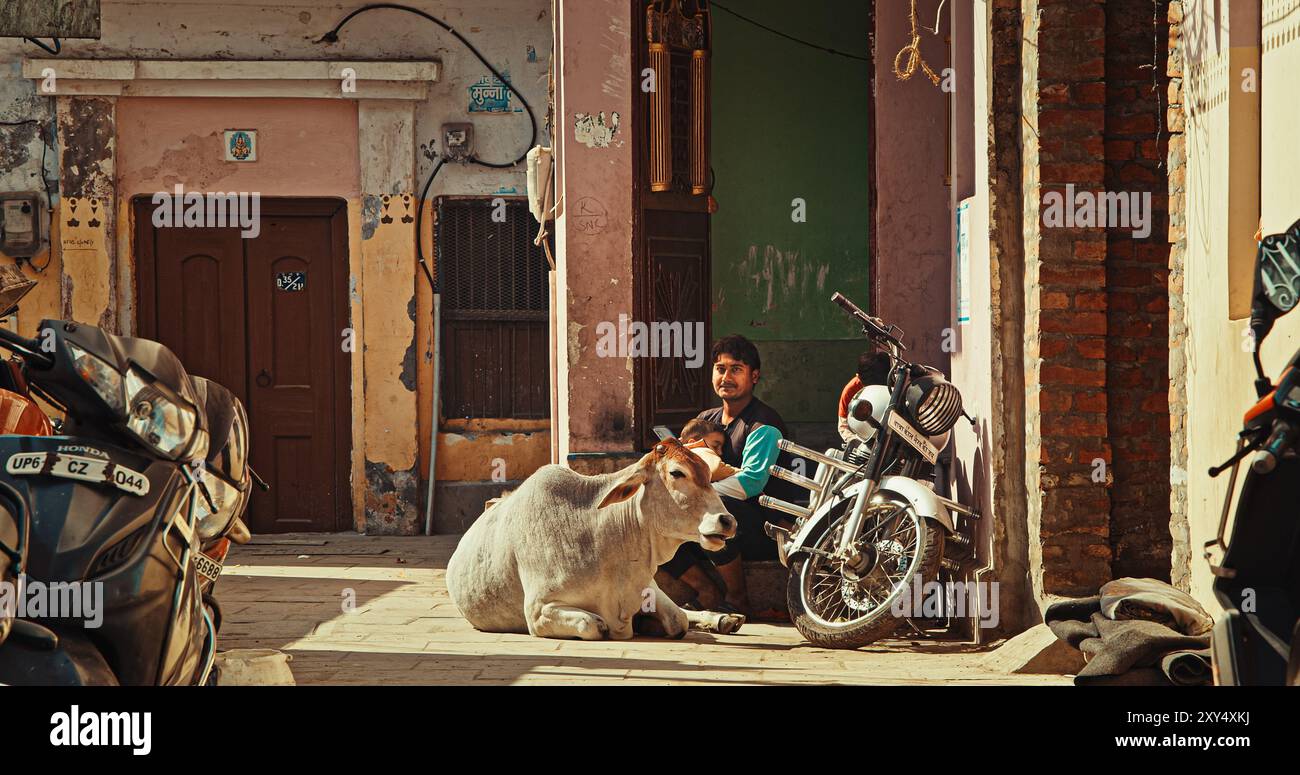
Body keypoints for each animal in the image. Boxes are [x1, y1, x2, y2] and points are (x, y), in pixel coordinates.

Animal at [446, 438, 742, 640]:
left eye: (708, 471)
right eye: (676, 472)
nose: (727, 521)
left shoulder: (646, 590)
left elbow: (677, 619)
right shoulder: (538, 611)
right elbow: (594, 625)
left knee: (682, 614)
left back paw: (724, 618)